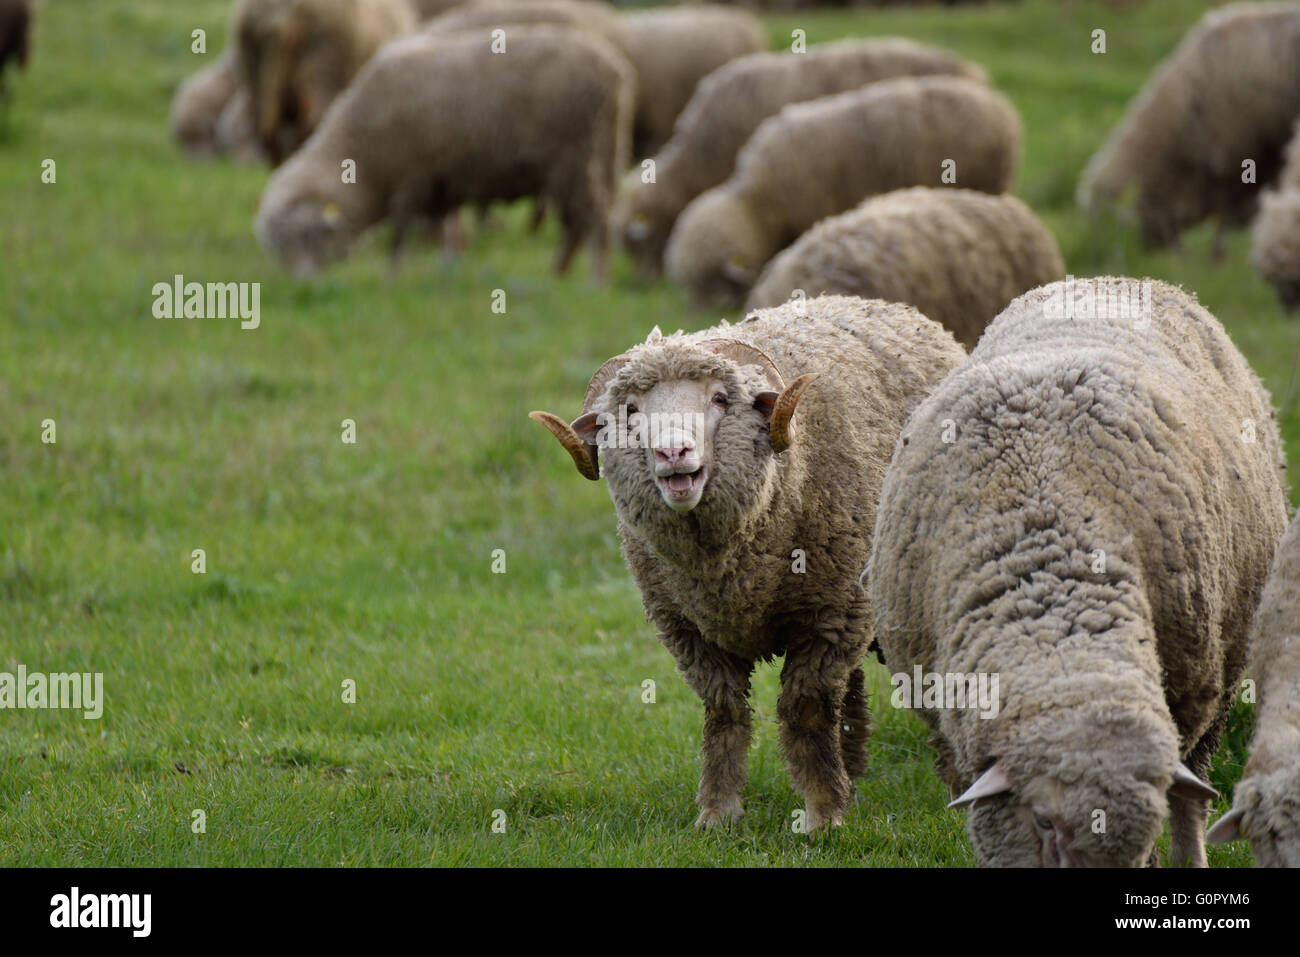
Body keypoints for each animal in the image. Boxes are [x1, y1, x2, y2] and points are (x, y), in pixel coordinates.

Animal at [255, 26, 634, 278]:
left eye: (309, 237)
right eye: (279, 247)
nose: (305, 284)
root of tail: (614, 70)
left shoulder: (413, 177)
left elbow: (402, 230)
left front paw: (393, 275)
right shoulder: (440, 178)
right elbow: (442, 227)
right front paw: (446, 269)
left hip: (577, 157)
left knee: (593, 220)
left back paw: (593, 280)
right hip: (600, 155)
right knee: (578, 224)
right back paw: (559, 273)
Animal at [529, 295, 967, 832]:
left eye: (720, 399)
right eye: (630, 410)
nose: (673, 451)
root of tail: (889, 306)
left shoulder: (831, 615)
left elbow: (806, 709)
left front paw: (822, 815)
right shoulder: (690, 629)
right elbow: (724, 714)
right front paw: (719, 812)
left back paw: (955, 786)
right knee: (852, 691)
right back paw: (854, 774)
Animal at [868, 276, 1290, 867]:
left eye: (1138, 842)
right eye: (1045, 822)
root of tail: (1122, 279)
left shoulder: (1189, 692)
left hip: (1224, 671)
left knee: (1195, 789)